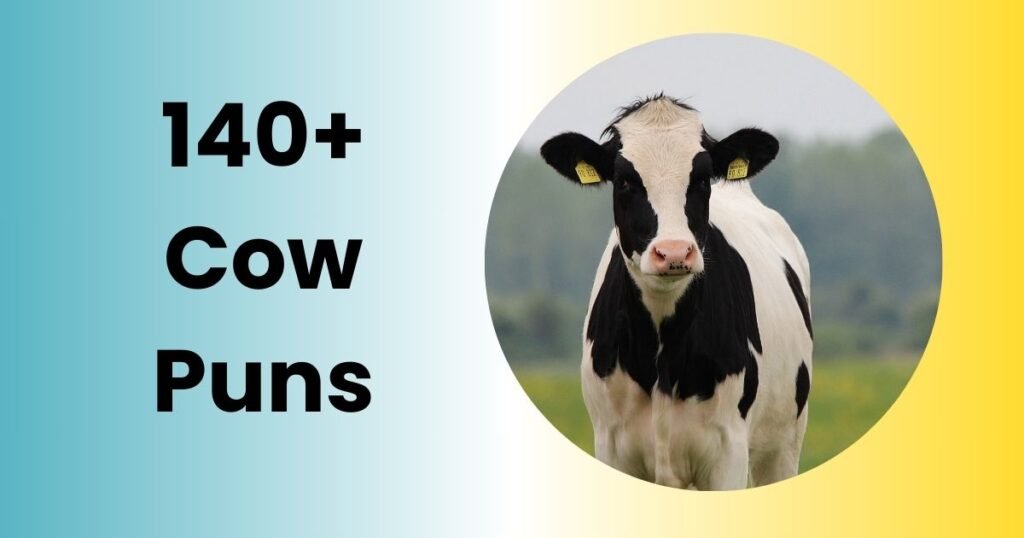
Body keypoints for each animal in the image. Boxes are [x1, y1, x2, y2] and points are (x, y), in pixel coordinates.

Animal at [539, 95, 813, 490]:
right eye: (625, 181)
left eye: (700, 179)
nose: (673, 252)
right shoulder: (610, 445)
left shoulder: (727, 453)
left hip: (783, 444)